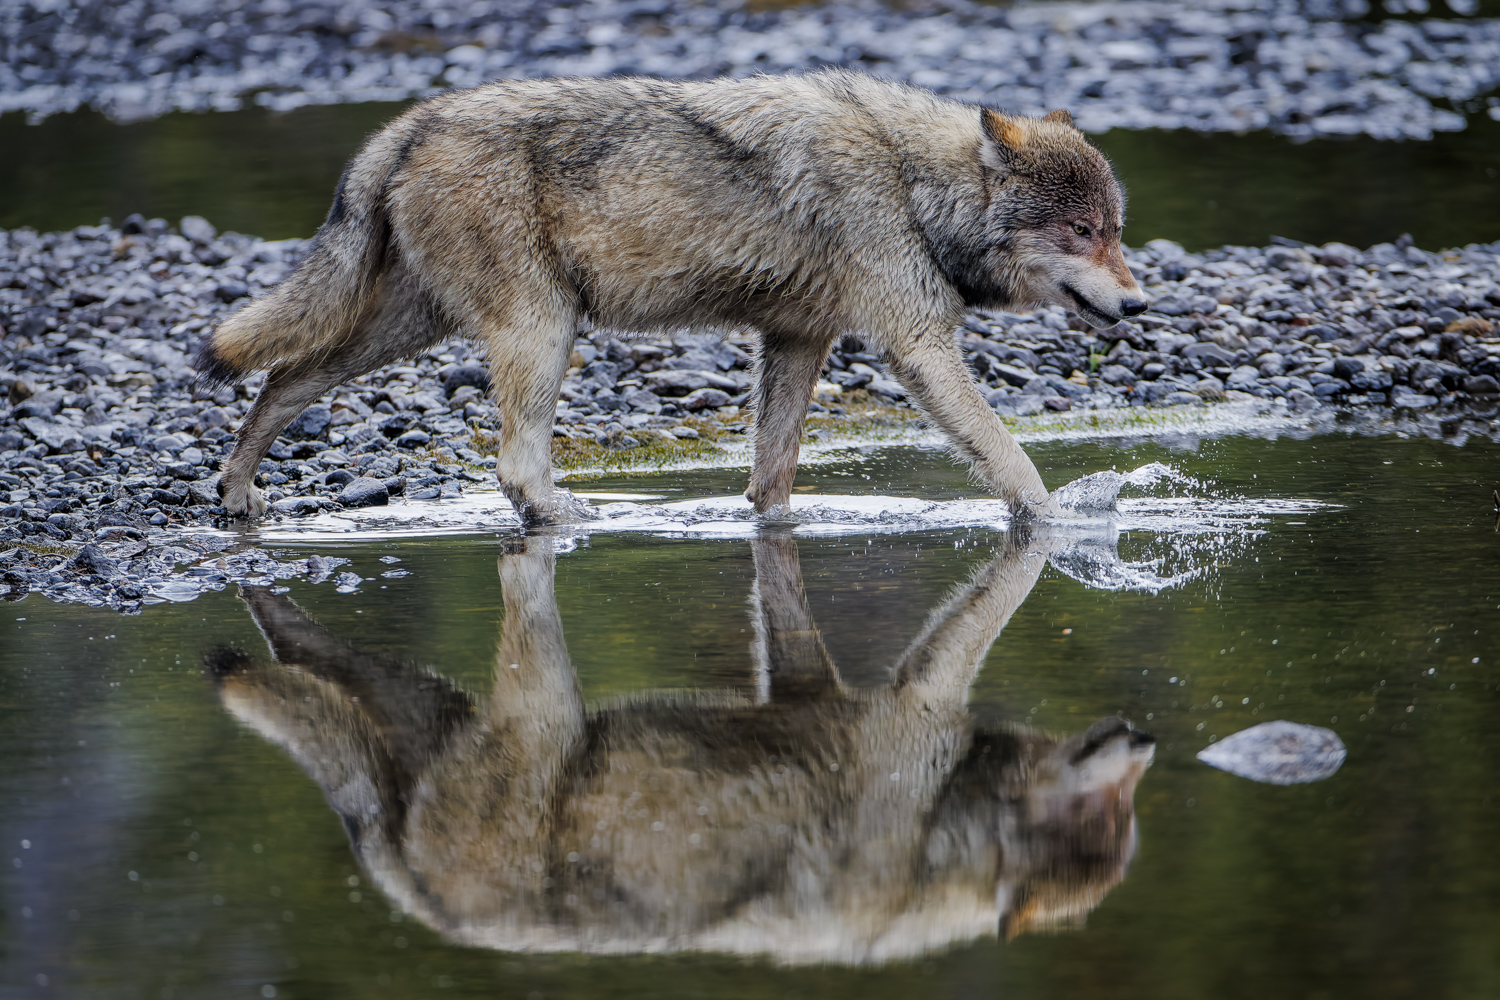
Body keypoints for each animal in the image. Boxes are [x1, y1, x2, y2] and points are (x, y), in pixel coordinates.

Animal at [196, 71, 1146, 524]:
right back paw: (570, 520)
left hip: (404, 332)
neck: (911, 182)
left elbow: (771, 478)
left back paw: (238, 495)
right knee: (515, 467)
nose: (1140, 309)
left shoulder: (798, 344)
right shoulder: (916, 349)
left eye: (1116, 229)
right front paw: (1064, 524)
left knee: (281, 381)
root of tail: (409, 124)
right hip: (543, 332)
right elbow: (1012, 461)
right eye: (1082, 231)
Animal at [210, 530, 1155, 962]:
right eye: (1101, 824)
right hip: (533, 713)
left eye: (1124, 818)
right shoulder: (916, 704)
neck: (941, 846)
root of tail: (414, 895)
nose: (1147, 743)